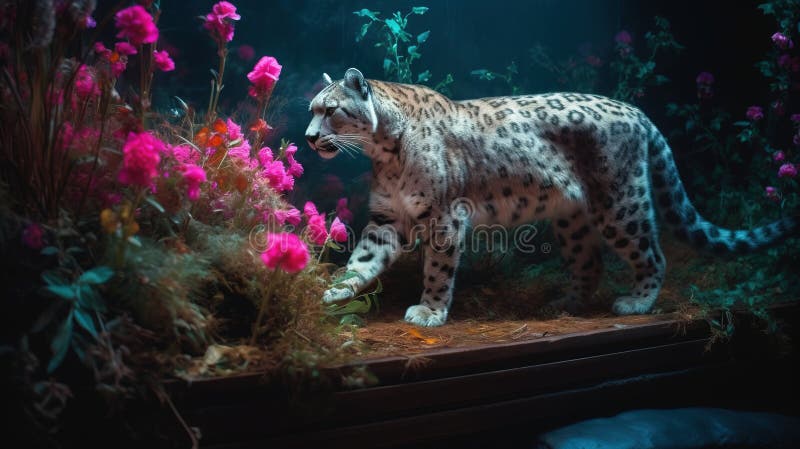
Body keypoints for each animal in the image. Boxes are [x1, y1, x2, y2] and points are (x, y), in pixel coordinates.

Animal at [304, 68, 797, 327]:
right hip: (574, 219)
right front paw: (332, 290)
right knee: (590, 262)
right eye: (312, 109)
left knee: (652, 253)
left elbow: (438, 269)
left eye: (330, 110)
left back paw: (636, 303)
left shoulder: (445, 216)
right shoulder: (387, 217)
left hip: (622, 205)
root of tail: (638, 111)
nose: (308, 138)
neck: (383, 154)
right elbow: (364, 259)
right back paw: (565, 304)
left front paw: (429, 310)